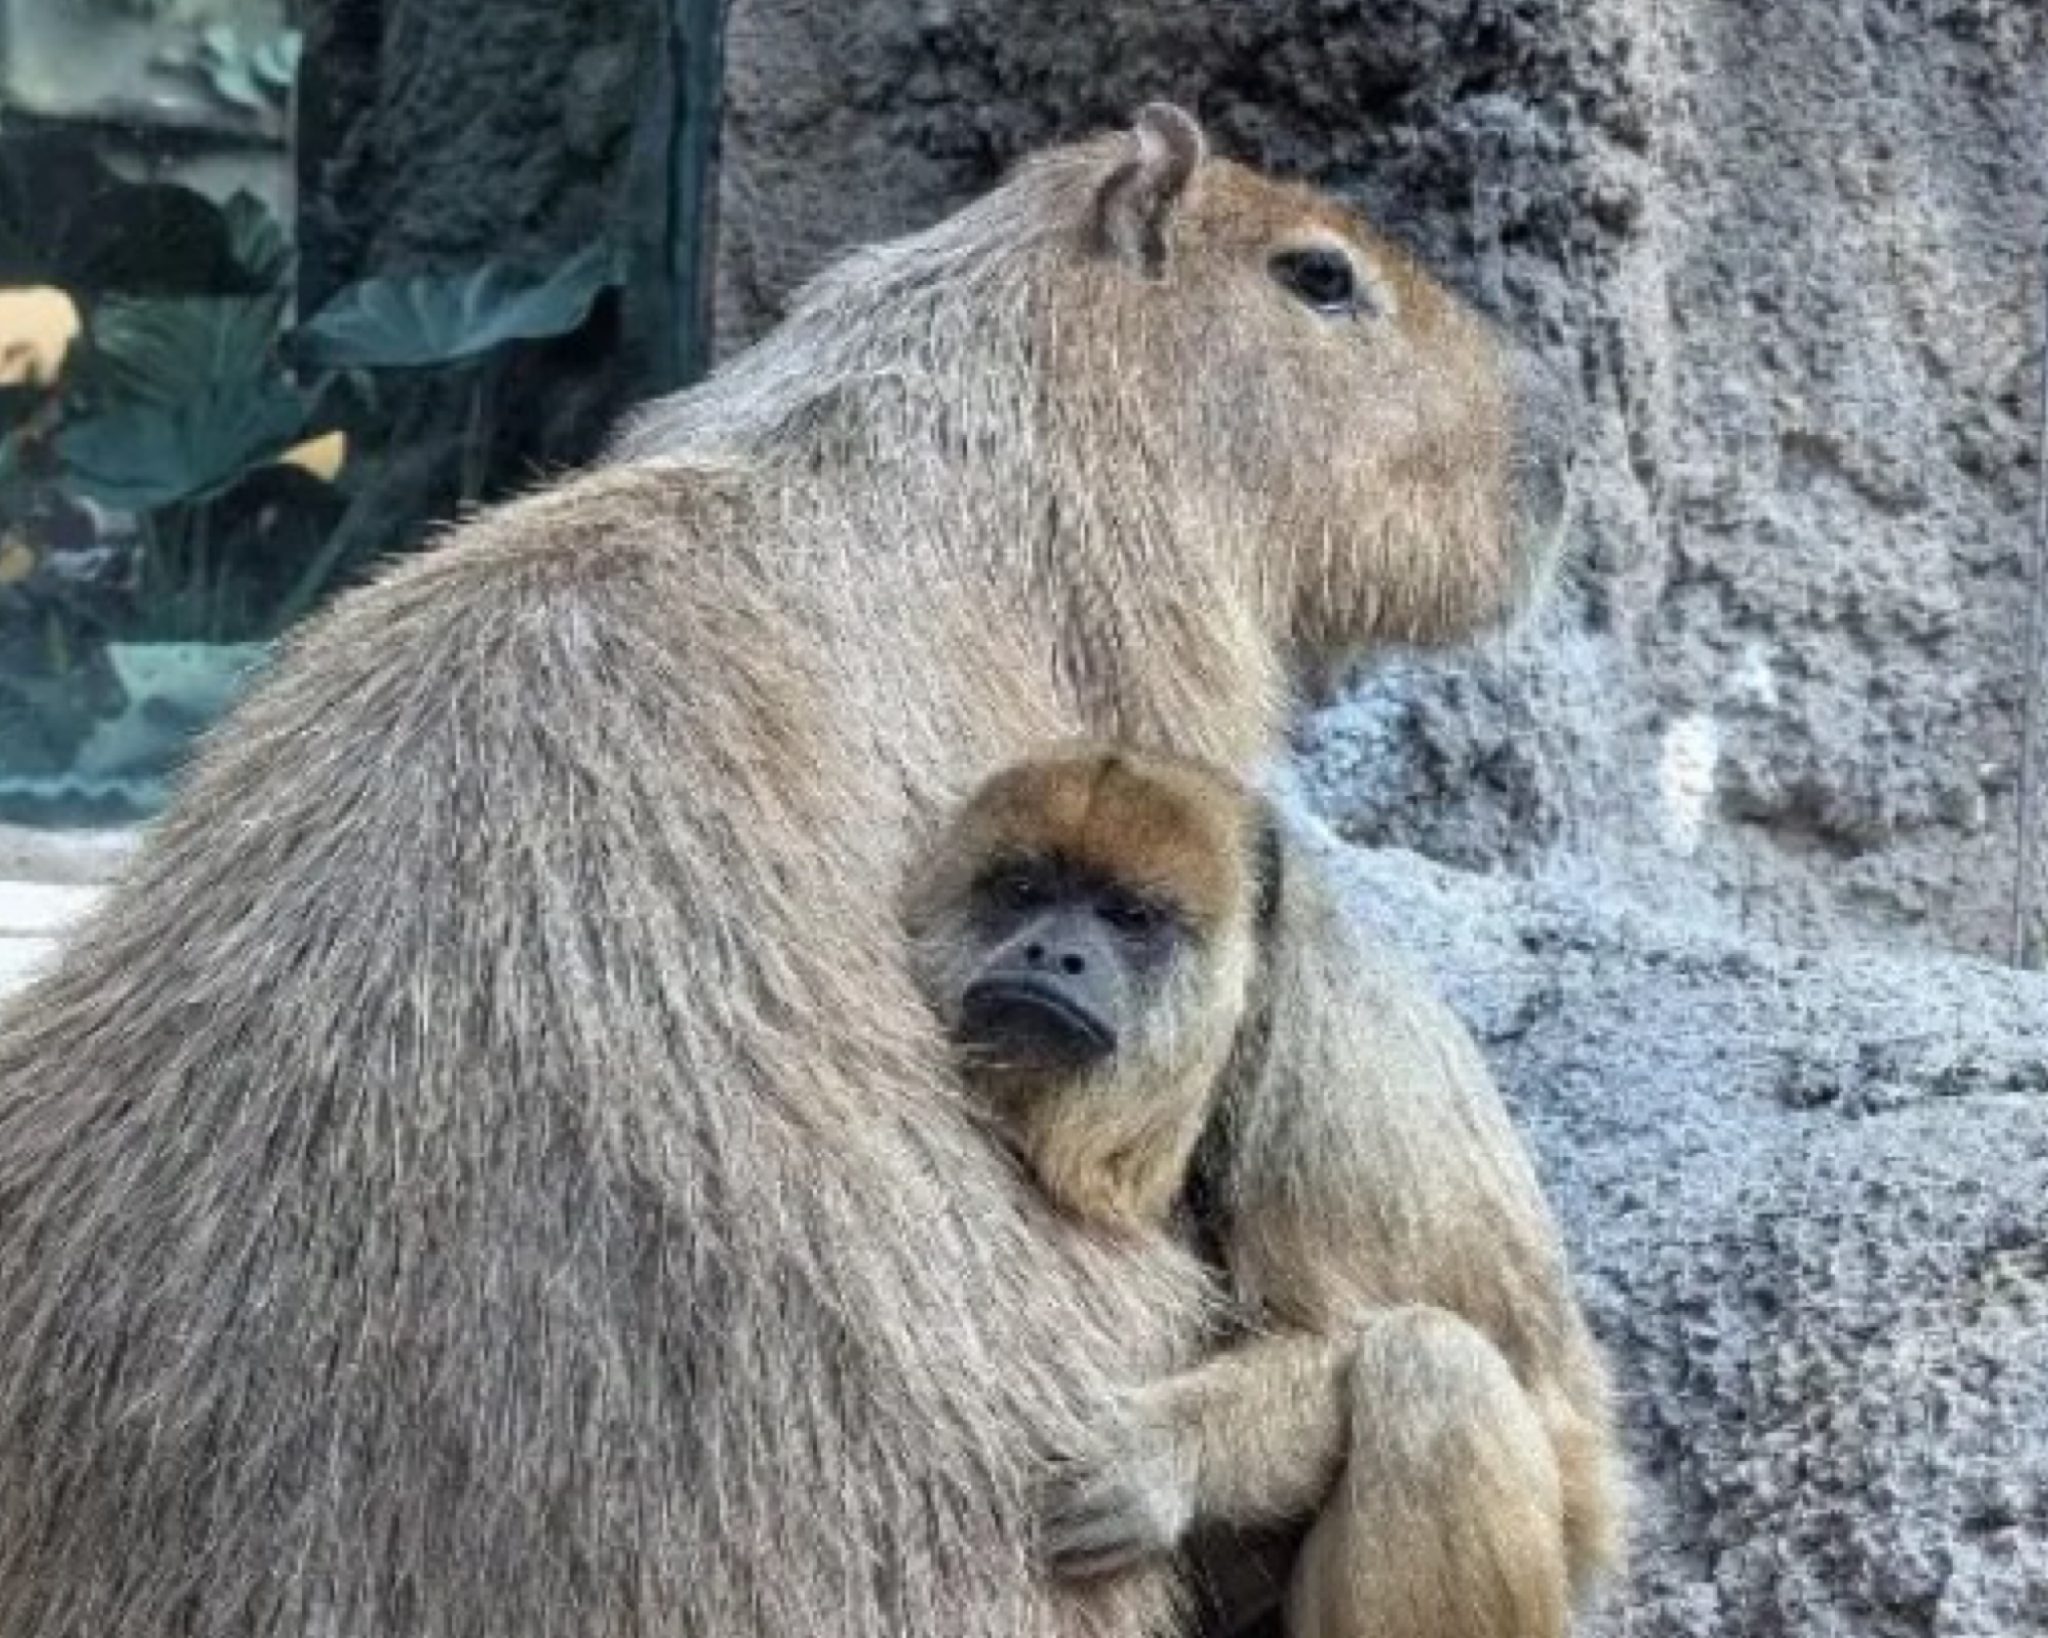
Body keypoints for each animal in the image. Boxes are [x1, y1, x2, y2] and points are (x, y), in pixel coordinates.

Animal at [906, 745, 1624, 1638]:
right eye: (1024, 890)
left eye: (1129, 917)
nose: (1049, 954)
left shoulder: (1332, 1084)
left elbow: (1345, 1334)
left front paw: (1162, 1456)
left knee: (1435, 1368)